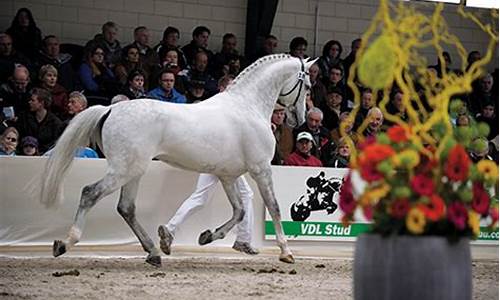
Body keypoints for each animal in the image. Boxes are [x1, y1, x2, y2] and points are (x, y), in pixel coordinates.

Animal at [40, 53, 316, 264]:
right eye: (308, 87)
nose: (299, 119)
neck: (247, 106)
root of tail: (109, 109)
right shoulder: (261, 169)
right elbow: (274, 207)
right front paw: (287, 252)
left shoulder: (228, 176)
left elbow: (239, 211)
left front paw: (207, 236)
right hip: (123, 171)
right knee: (90, 193)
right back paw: (64, 244)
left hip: (133, 172)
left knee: (126, 208)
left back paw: (154, 251)